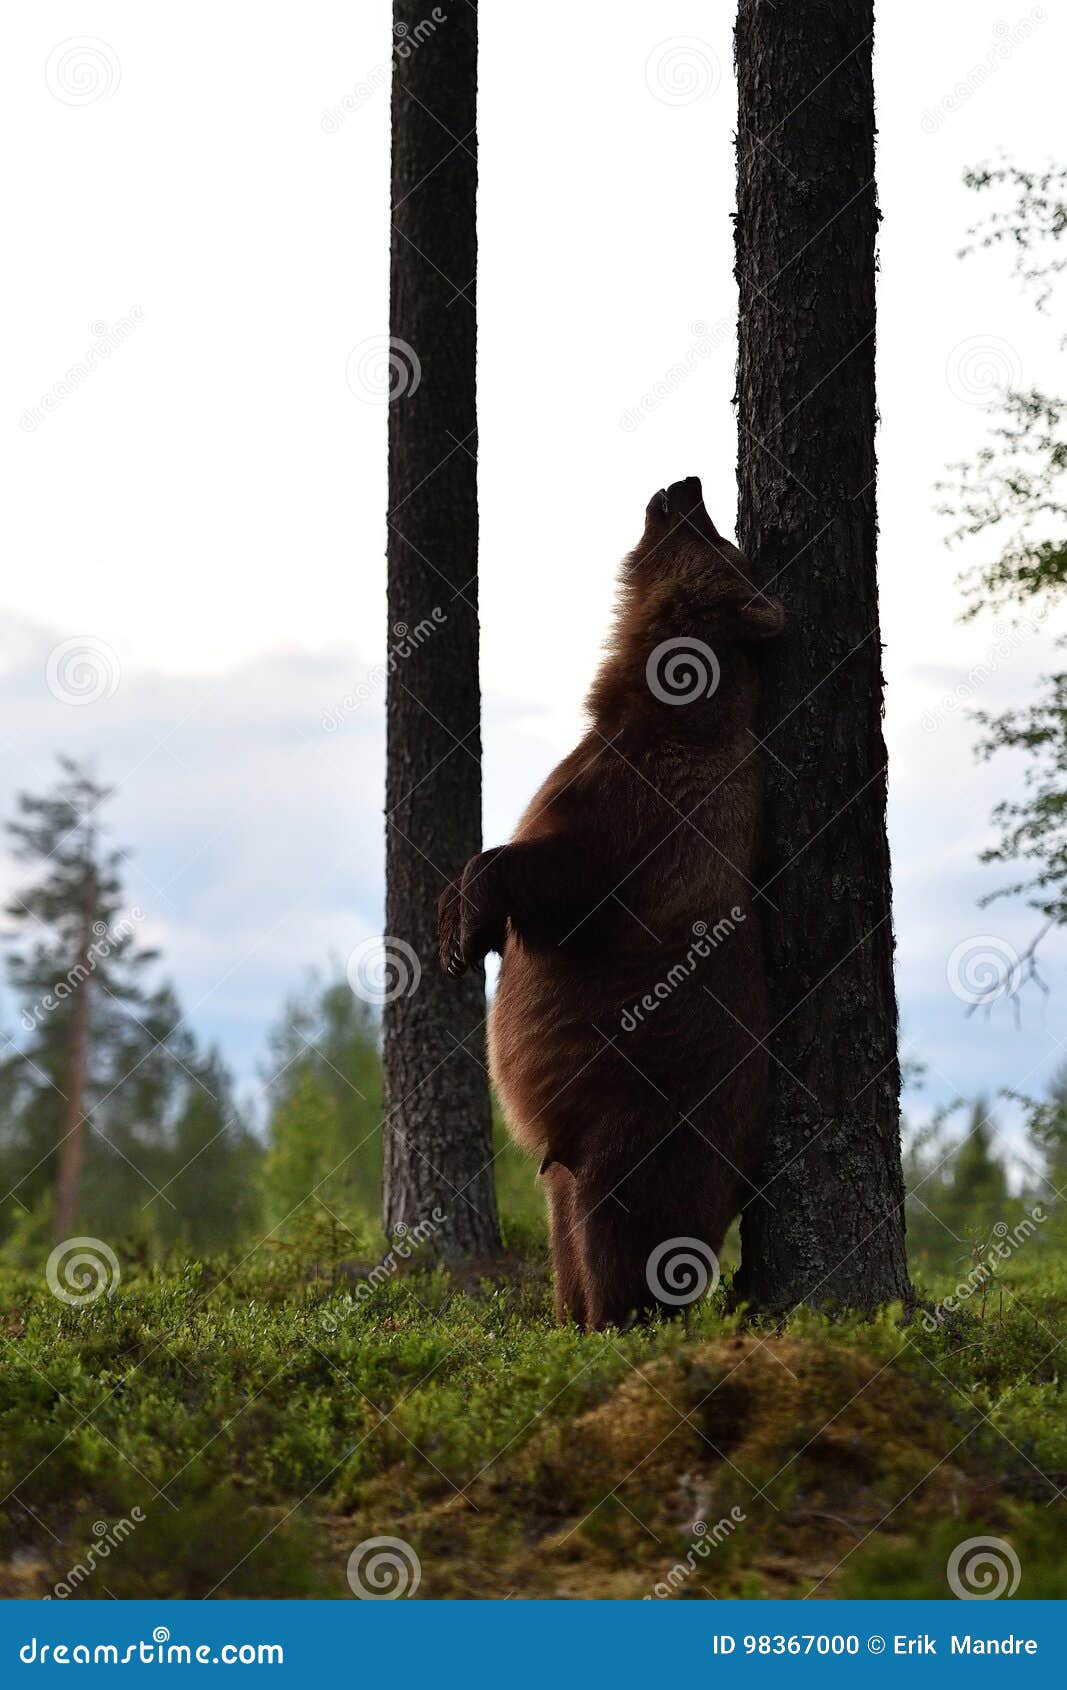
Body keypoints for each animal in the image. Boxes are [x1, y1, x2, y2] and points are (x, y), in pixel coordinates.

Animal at [438, 476, 785, 1330]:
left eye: (717, 537)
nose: (686, 484)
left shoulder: (647, 818)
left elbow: (552, 874)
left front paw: (468, 927)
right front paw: (450, 926)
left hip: (644, 1122)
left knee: (622, 1231)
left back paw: (611, 1323)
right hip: (569, 1164)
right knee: (566, 1233)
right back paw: (566, 1318)